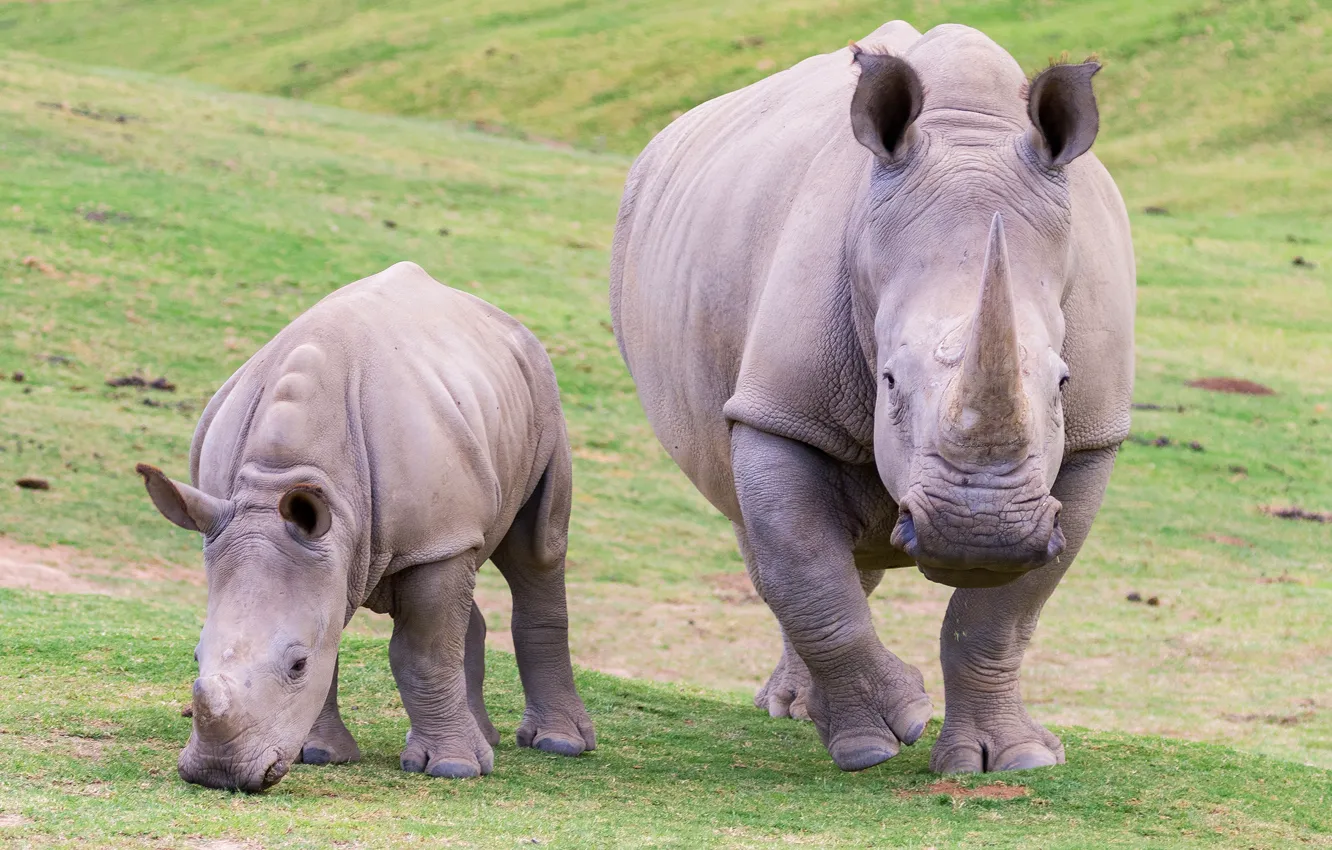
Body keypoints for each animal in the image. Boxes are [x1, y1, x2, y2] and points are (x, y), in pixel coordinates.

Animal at [137, 262, 594, 791]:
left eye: (297, 665)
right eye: (195, 656)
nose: (218, 774)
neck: (280, 481)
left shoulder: (434, 539)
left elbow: (423, 651)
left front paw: (454, 768)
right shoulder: (316, 545)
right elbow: (334, 633)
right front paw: (320, 754)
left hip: (541, 390)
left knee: (536, 551)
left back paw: (558, 744)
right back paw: (489, 739)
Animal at [610, 22, 1134, 773]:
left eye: (1062, 382)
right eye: (888, 380)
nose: (981, 534)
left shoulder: (1094, 435)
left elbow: (1001, 615)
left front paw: (1014, 759)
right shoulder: (783, 412)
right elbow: (805, 571)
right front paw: (878, 738)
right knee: (762, 532)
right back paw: (800, 712)